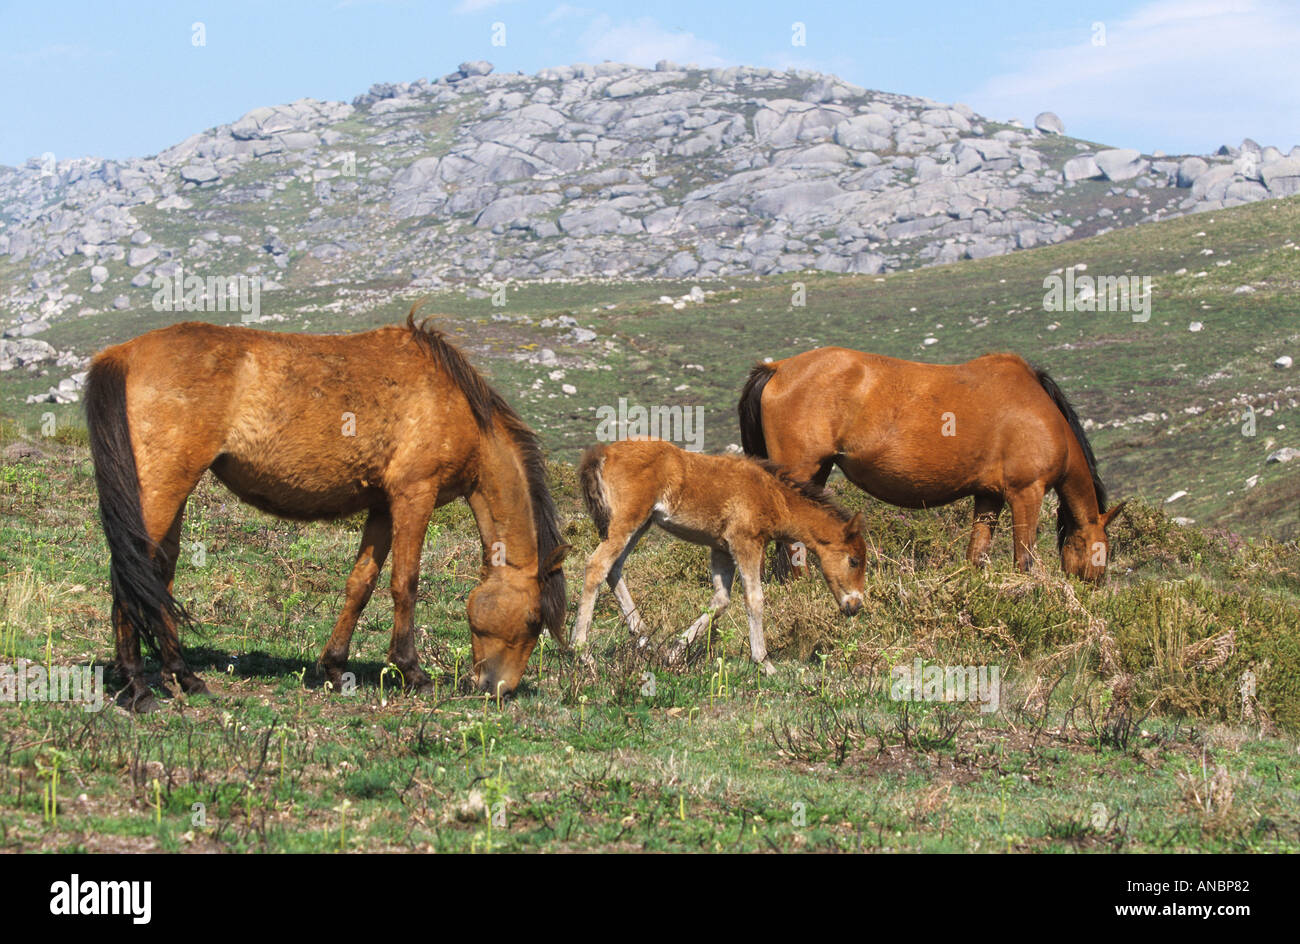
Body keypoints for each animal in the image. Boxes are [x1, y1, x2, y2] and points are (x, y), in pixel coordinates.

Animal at [84, 303, 568, 709]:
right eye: (532, 620)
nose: (497, 689)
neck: (453, 401)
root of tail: (121, 354)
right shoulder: (415, 495)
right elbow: (405, 583)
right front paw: (412, 672)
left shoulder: (382, 505)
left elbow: (361, 583)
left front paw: (334, 666)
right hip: (163, 486)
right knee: (130, 573)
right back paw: (137, 688)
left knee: (158, 573)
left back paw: (183, 677)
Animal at [570, 439, 866, 674]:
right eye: (853, 560)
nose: (855, 606)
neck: (772, 495)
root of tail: (603, 452)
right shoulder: (745, 542)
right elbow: (754, 599)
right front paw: (764, 663)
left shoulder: (721, 548)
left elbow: (721, 601)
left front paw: (673, 654)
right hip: (626, 521)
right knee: (596, 566)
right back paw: (582, 652)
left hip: (640, 524)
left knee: (614, 568)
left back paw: (644, 639)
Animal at [738, 347, 1124, 581]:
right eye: (1101, 551)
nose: (1094, 588)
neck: (1041, 411)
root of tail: (777, 368)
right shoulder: (1026, 493)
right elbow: (1024, 560)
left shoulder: (989, 497)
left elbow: (976, 555)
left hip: (814, 476)